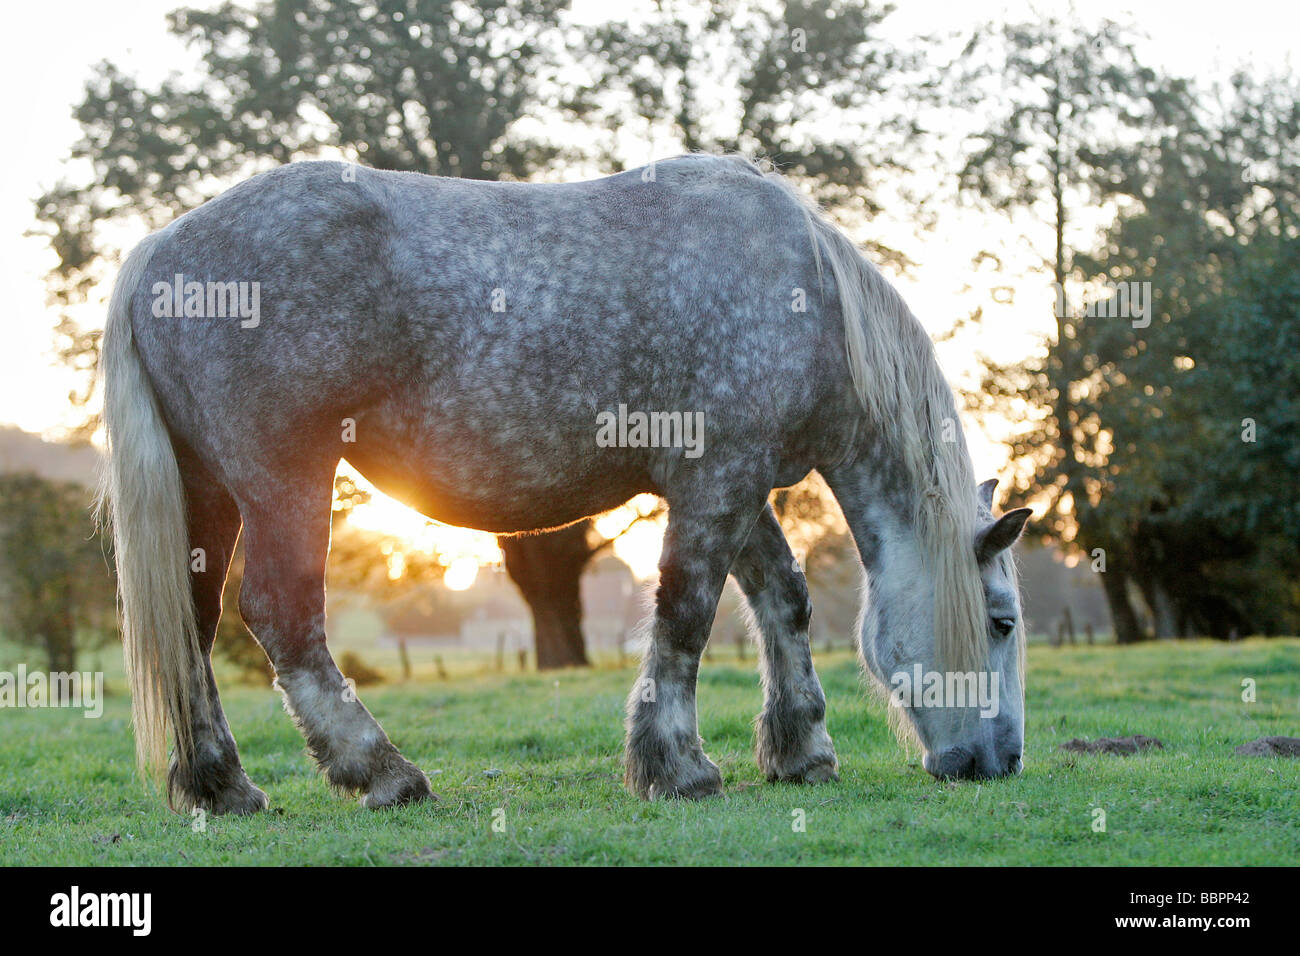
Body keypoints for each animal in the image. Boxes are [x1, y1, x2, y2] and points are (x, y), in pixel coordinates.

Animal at [97, 154, 1032, 813]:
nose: (1006, 762)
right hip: (286, 482)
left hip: (208, 492)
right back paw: (384, 773)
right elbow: (687, 614)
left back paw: (222, 785)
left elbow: (782, 601)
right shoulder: (717, 480)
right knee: (282, 619)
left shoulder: (737, 481)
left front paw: (799, 752)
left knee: (194, 623)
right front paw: (678, 766)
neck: (807, 291)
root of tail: (157, 253)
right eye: (1001, 621)